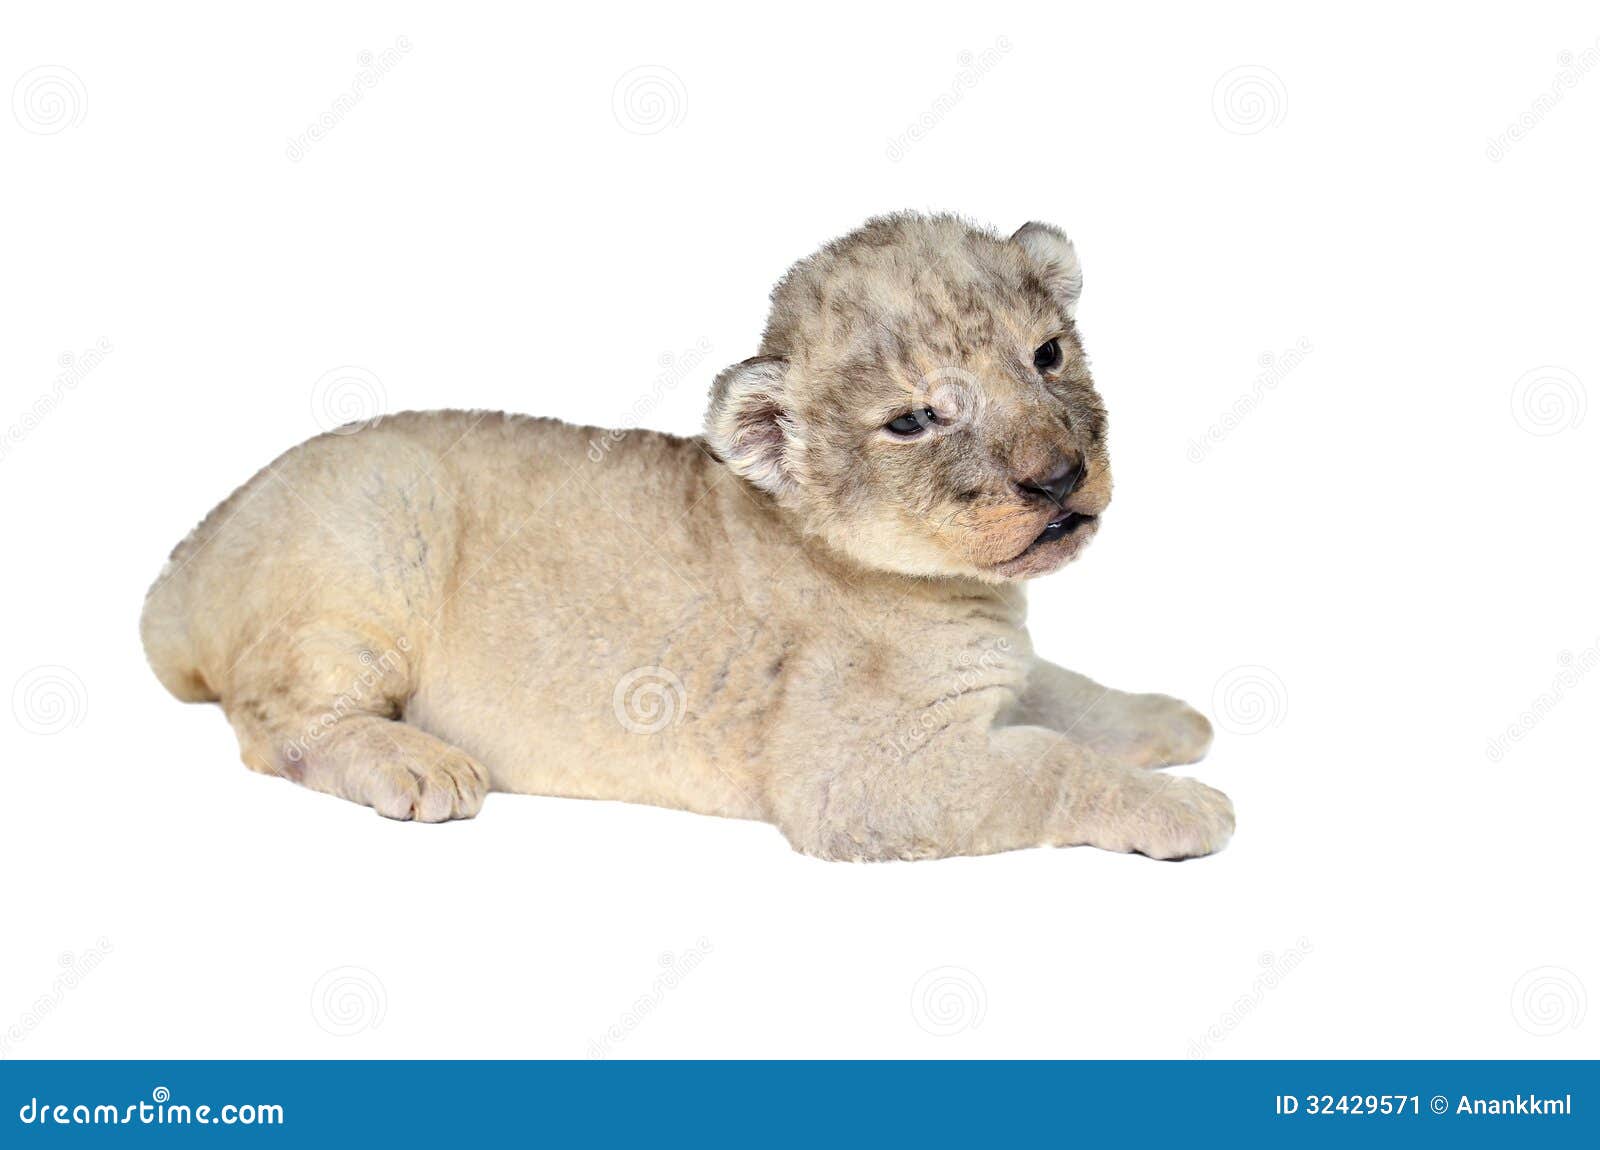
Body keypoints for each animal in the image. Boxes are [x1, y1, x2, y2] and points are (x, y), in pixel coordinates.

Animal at [140, 212, 1231, 861]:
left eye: (1047, 355)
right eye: (915, 419)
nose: (1057, 477)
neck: (961, 587)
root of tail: (188, 555)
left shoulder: (999, 674)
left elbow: (1067, 693)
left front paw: (1171, 721)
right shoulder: (860, 777)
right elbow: (1047, 762)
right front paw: (1186, 807)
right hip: (370, 529)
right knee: (277, 725)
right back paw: (419, 766)